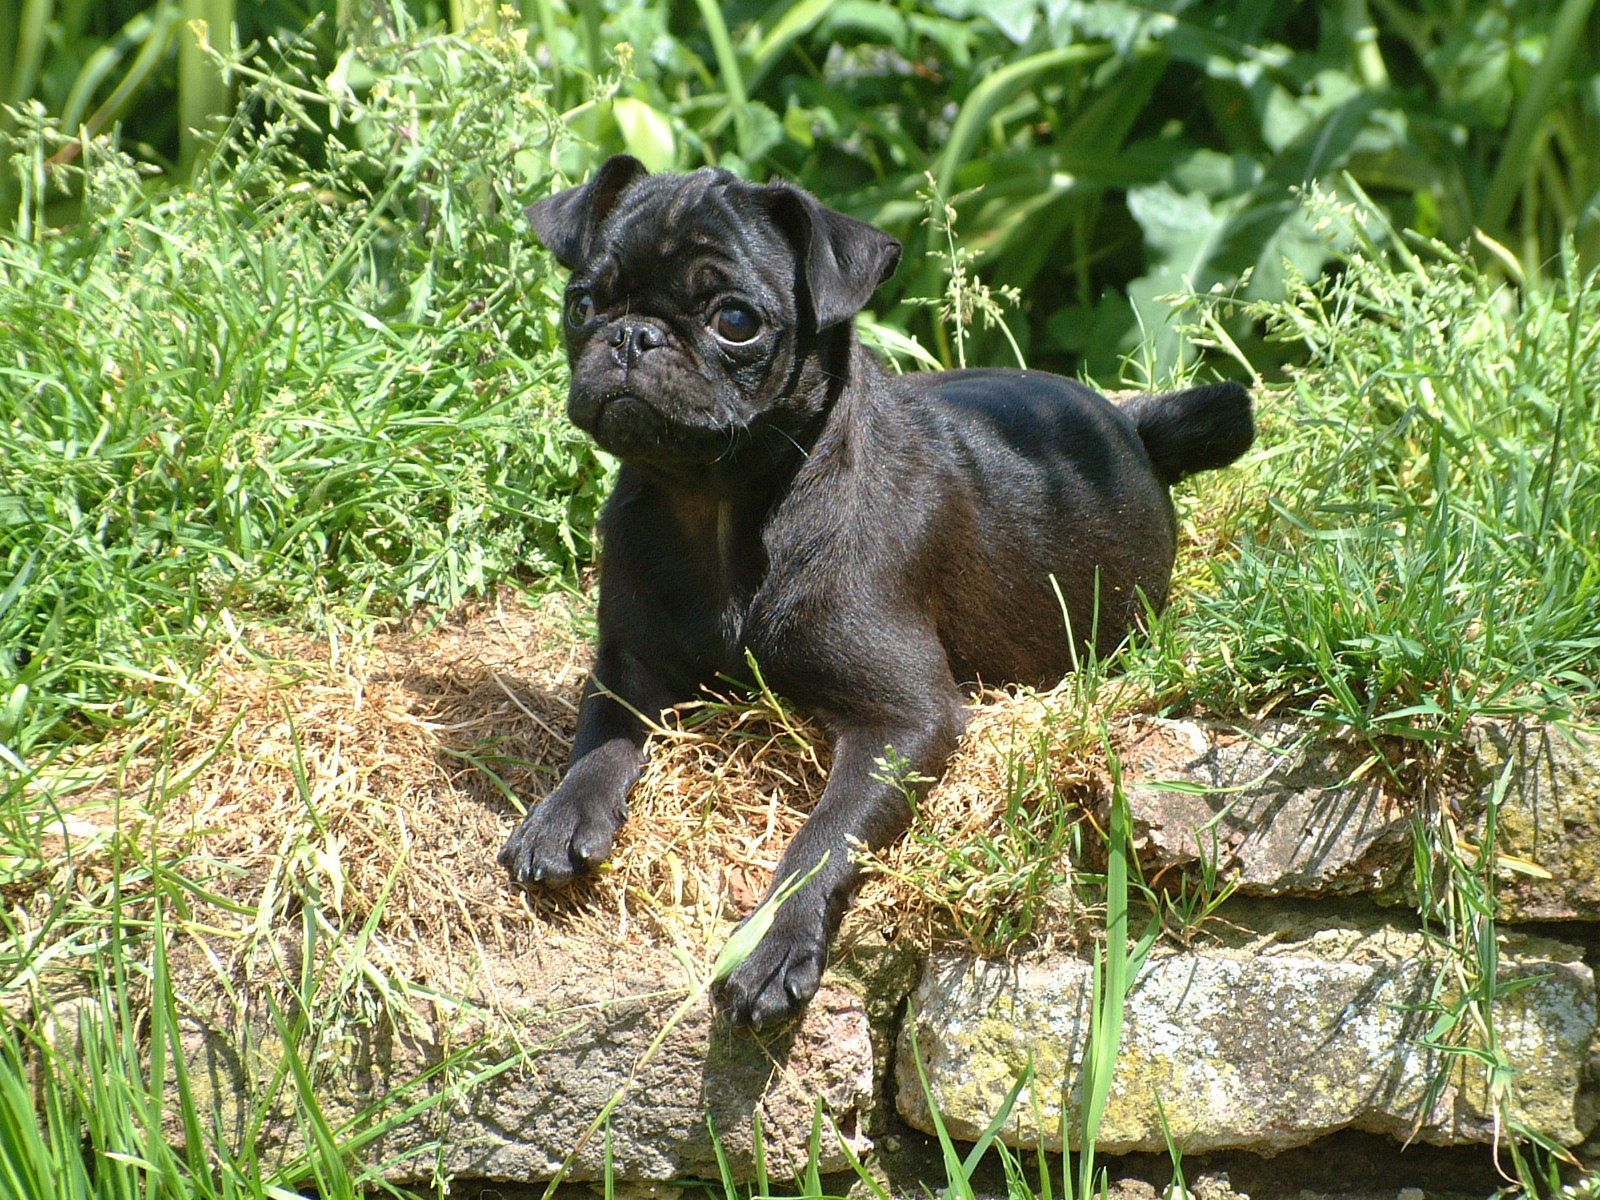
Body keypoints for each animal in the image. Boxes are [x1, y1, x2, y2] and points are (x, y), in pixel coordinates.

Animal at [499, 155, 1248, 1030]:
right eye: (582, 305)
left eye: (735, 320)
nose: (631, 335)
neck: (714, 505)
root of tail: (1134, 428)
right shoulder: (629, 660)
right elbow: (602, 732)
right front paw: (563, 812)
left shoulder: (904, 718)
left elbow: (825, 836)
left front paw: (773, 943)